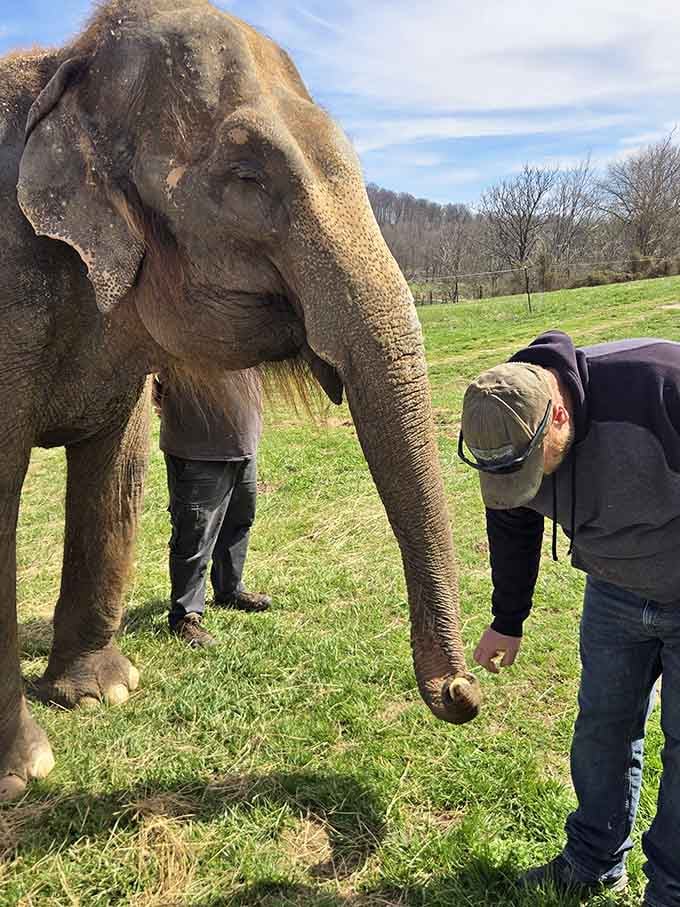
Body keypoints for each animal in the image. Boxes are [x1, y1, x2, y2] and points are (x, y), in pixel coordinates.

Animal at [0, 0, 481, 801]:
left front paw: (103, 694)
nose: (465, 693)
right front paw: (23, 772)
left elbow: (117, 468)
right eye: (247, 175)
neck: (65, 65)